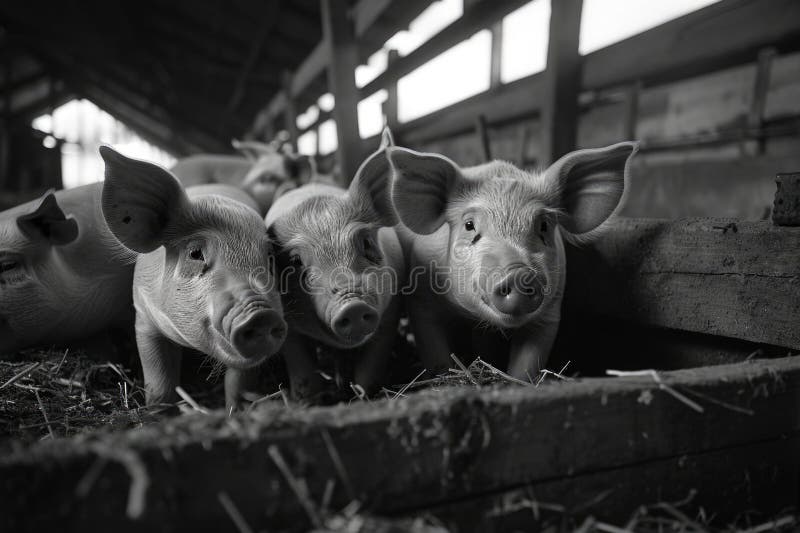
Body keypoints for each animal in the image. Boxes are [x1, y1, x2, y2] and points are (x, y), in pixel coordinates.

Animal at [99, 146, 288, 410]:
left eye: (269, 257)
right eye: (195, 253)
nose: (261, 313)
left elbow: (238, 382)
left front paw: (236, 410)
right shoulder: (144, 316)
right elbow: (159, 381)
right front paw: (158, 412)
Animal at [265, 128, 403, 400]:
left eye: (367, 242)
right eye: (295, 261)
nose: (353, 305)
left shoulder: (391, 311)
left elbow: (371, 368)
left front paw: (362, 396)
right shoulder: (289, 329)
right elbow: (302, 371)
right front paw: (309, 401)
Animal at [388, 141, 639, 379]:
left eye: (544, 226)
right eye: (469, 225)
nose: (519, 273)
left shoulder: (549, 314)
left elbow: (527, 365)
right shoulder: (421, 302)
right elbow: (436, 354)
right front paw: (442, 377)